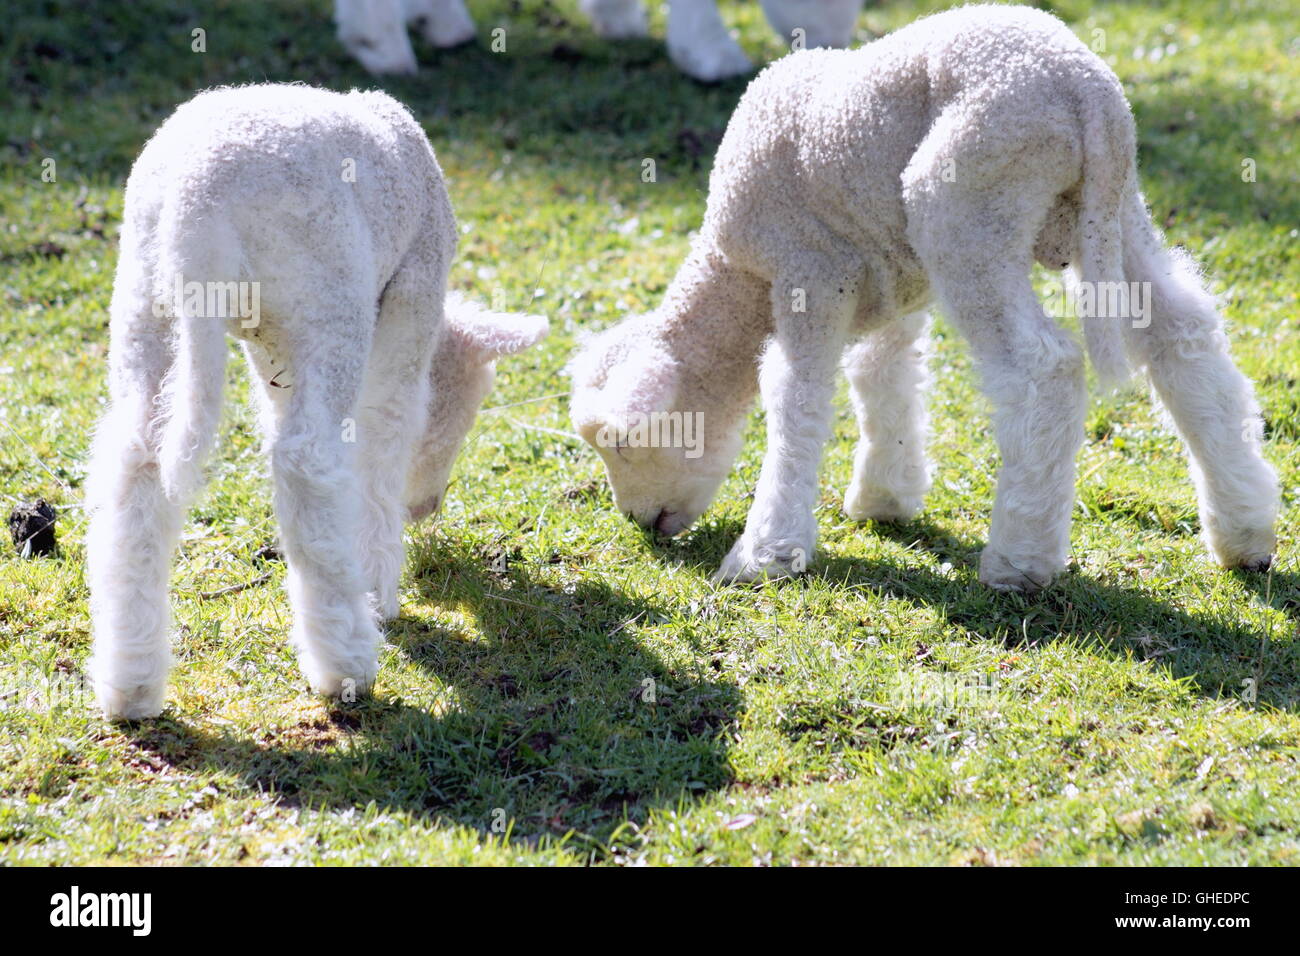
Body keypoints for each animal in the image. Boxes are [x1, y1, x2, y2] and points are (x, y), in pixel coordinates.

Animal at [86, 84, 548, 721]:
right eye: (464, 412)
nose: (425, 508)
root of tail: (194, 206)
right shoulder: (413, 289)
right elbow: (385, 434)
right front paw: (379, 585)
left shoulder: (273, 347)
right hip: (330, 298)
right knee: (308, 464)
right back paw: (345, 660)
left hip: (145, 305)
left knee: (137, 467)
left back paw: (130, 682)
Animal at [569, 5, 1279, 591]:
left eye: (623, 445)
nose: (639, 522)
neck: (734, 276)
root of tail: (1086, 89)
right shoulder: (892, 278)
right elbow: (881, 371)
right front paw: (886, 495)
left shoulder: (810, 268)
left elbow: (795, 394)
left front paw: (766, 551)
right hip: (1112, 211)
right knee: (1182, 337)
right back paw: (1245, 533)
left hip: (967, 206)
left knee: (1043, 370)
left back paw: (1020, 560)